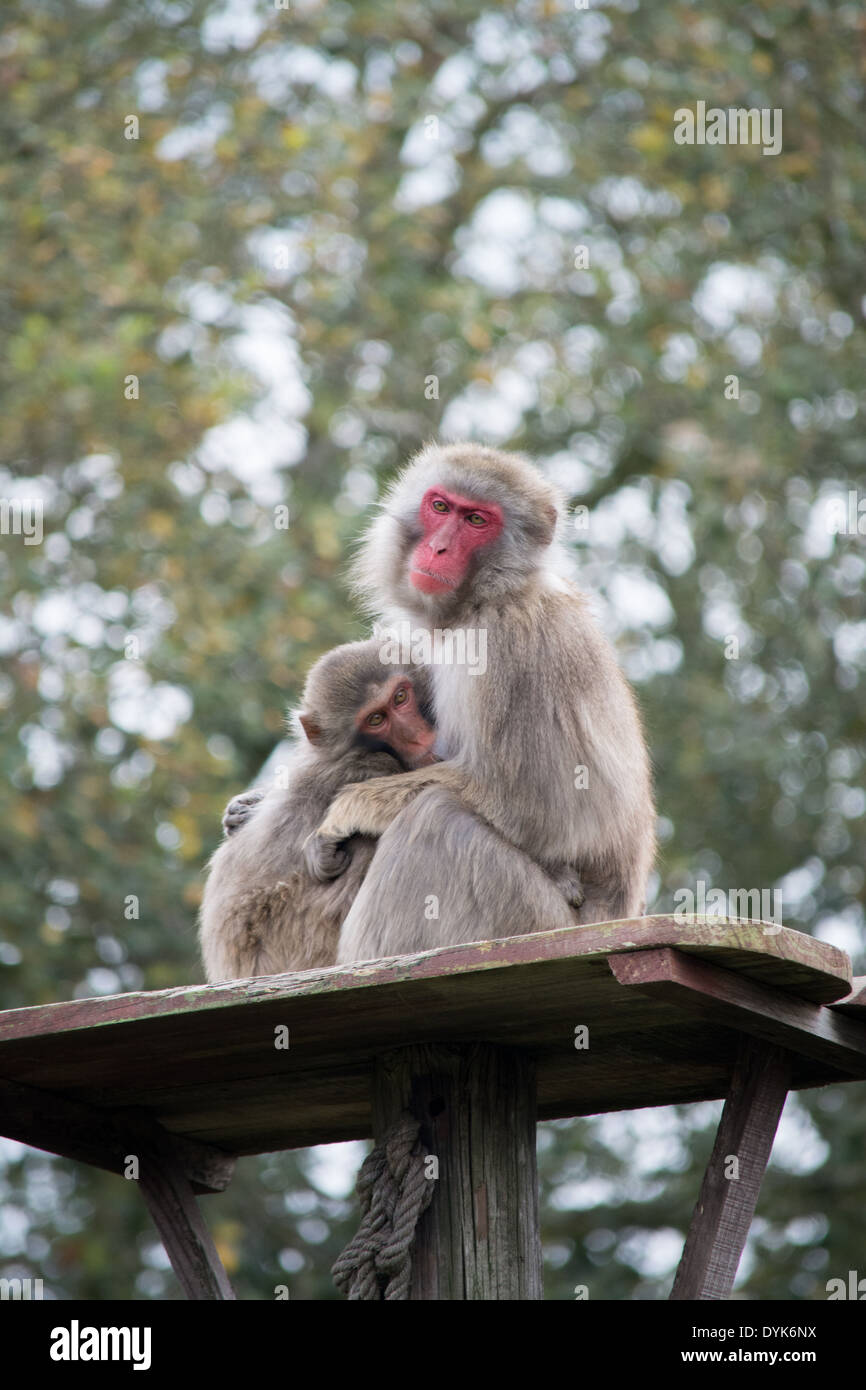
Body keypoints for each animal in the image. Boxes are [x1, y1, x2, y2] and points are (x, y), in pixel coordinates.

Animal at [302, 442, 656, 963]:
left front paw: (352, 805)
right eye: (440, 506)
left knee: (437, 819)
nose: (438, 549)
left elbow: (532, 806)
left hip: (529, 919)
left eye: (476, 520)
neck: (482, 601)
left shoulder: (506, 653)